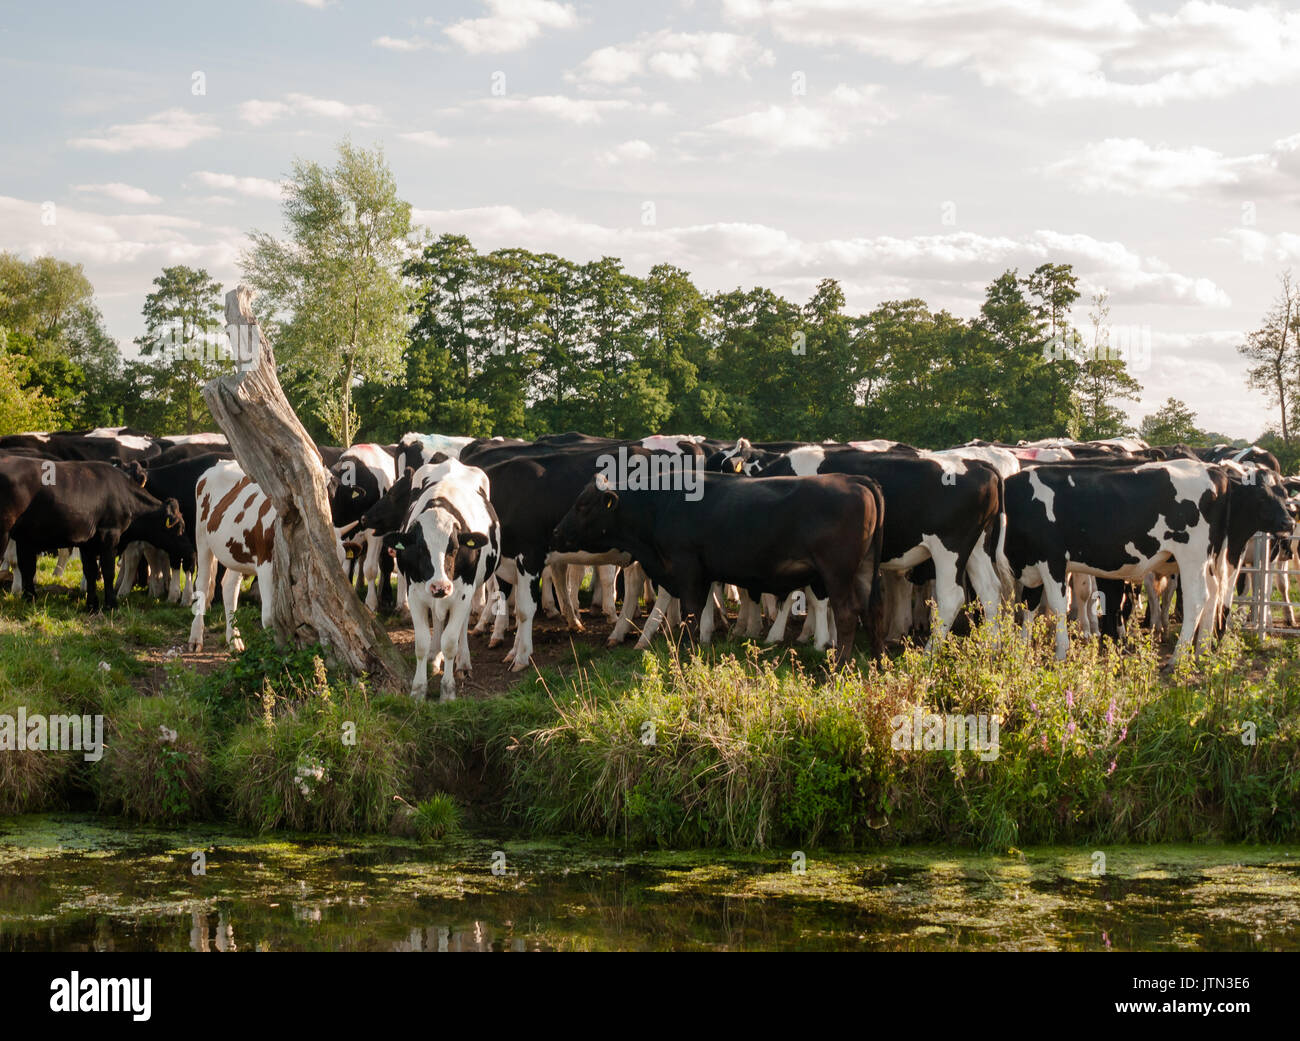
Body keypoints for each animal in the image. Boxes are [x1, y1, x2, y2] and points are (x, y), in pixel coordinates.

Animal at [383, 457, 500, 700]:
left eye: (454, 548)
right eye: (420, 548)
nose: (440, 586)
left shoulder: (463, 592)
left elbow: (450, 642)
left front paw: (447, 690)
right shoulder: (415, 593)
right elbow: (421, 642)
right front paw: (418, 689)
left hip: (469, 590)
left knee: (461, 626)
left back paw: (463, 663)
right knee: (437, 621)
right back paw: (434, 657)